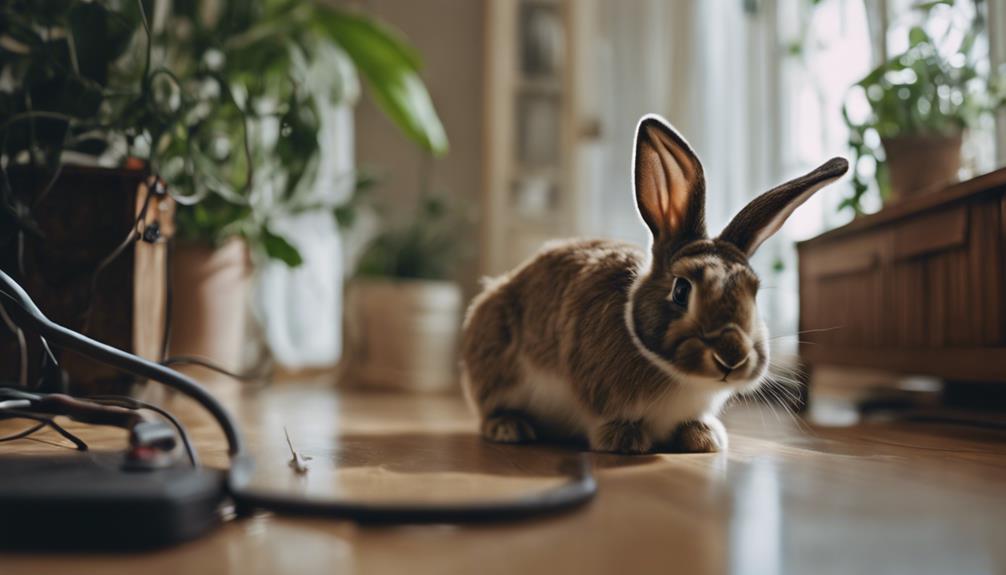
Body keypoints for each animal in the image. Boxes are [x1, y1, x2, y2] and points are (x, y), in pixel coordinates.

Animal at [461, 114, 848, 454]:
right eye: (681, 290)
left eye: (754, 293)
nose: (731, 356)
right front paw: (624, 440)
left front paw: (704, 438)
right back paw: (509, 427)